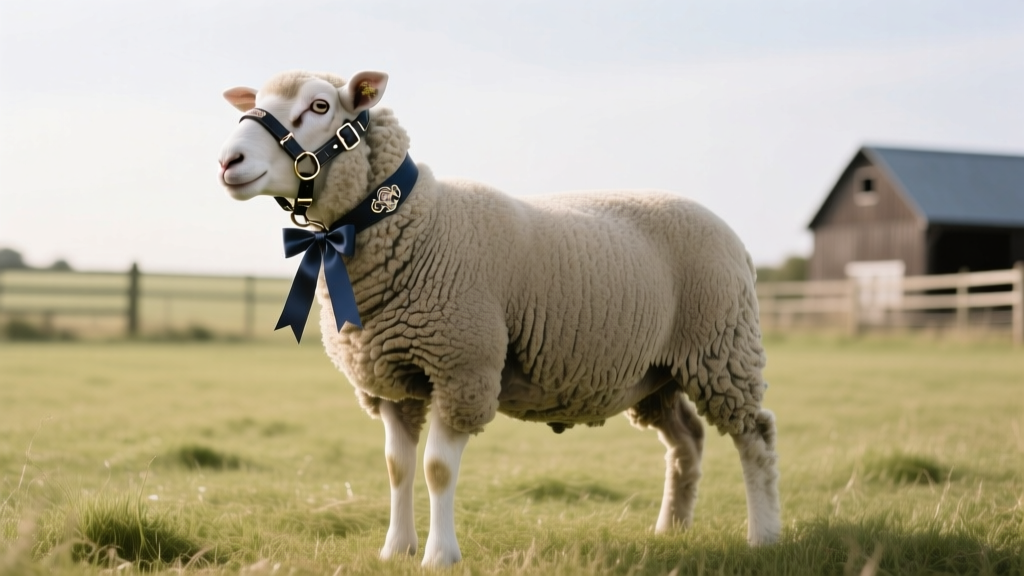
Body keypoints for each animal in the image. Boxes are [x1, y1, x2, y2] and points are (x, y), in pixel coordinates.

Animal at [217, 69, 781, 568]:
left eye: (319, 106)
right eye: (256, 101)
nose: (228, 160)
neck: (414, 224)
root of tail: (734, 237)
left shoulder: (462, 368)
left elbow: (436, 469)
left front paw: (439, 556)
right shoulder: (392, 381)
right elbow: (398, 468)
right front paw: (394, 550)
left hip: (722, 349)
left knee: (755, 435)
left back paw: (764, 536)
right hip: (657, 373)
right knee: (687, 440)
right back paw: (671, 530)